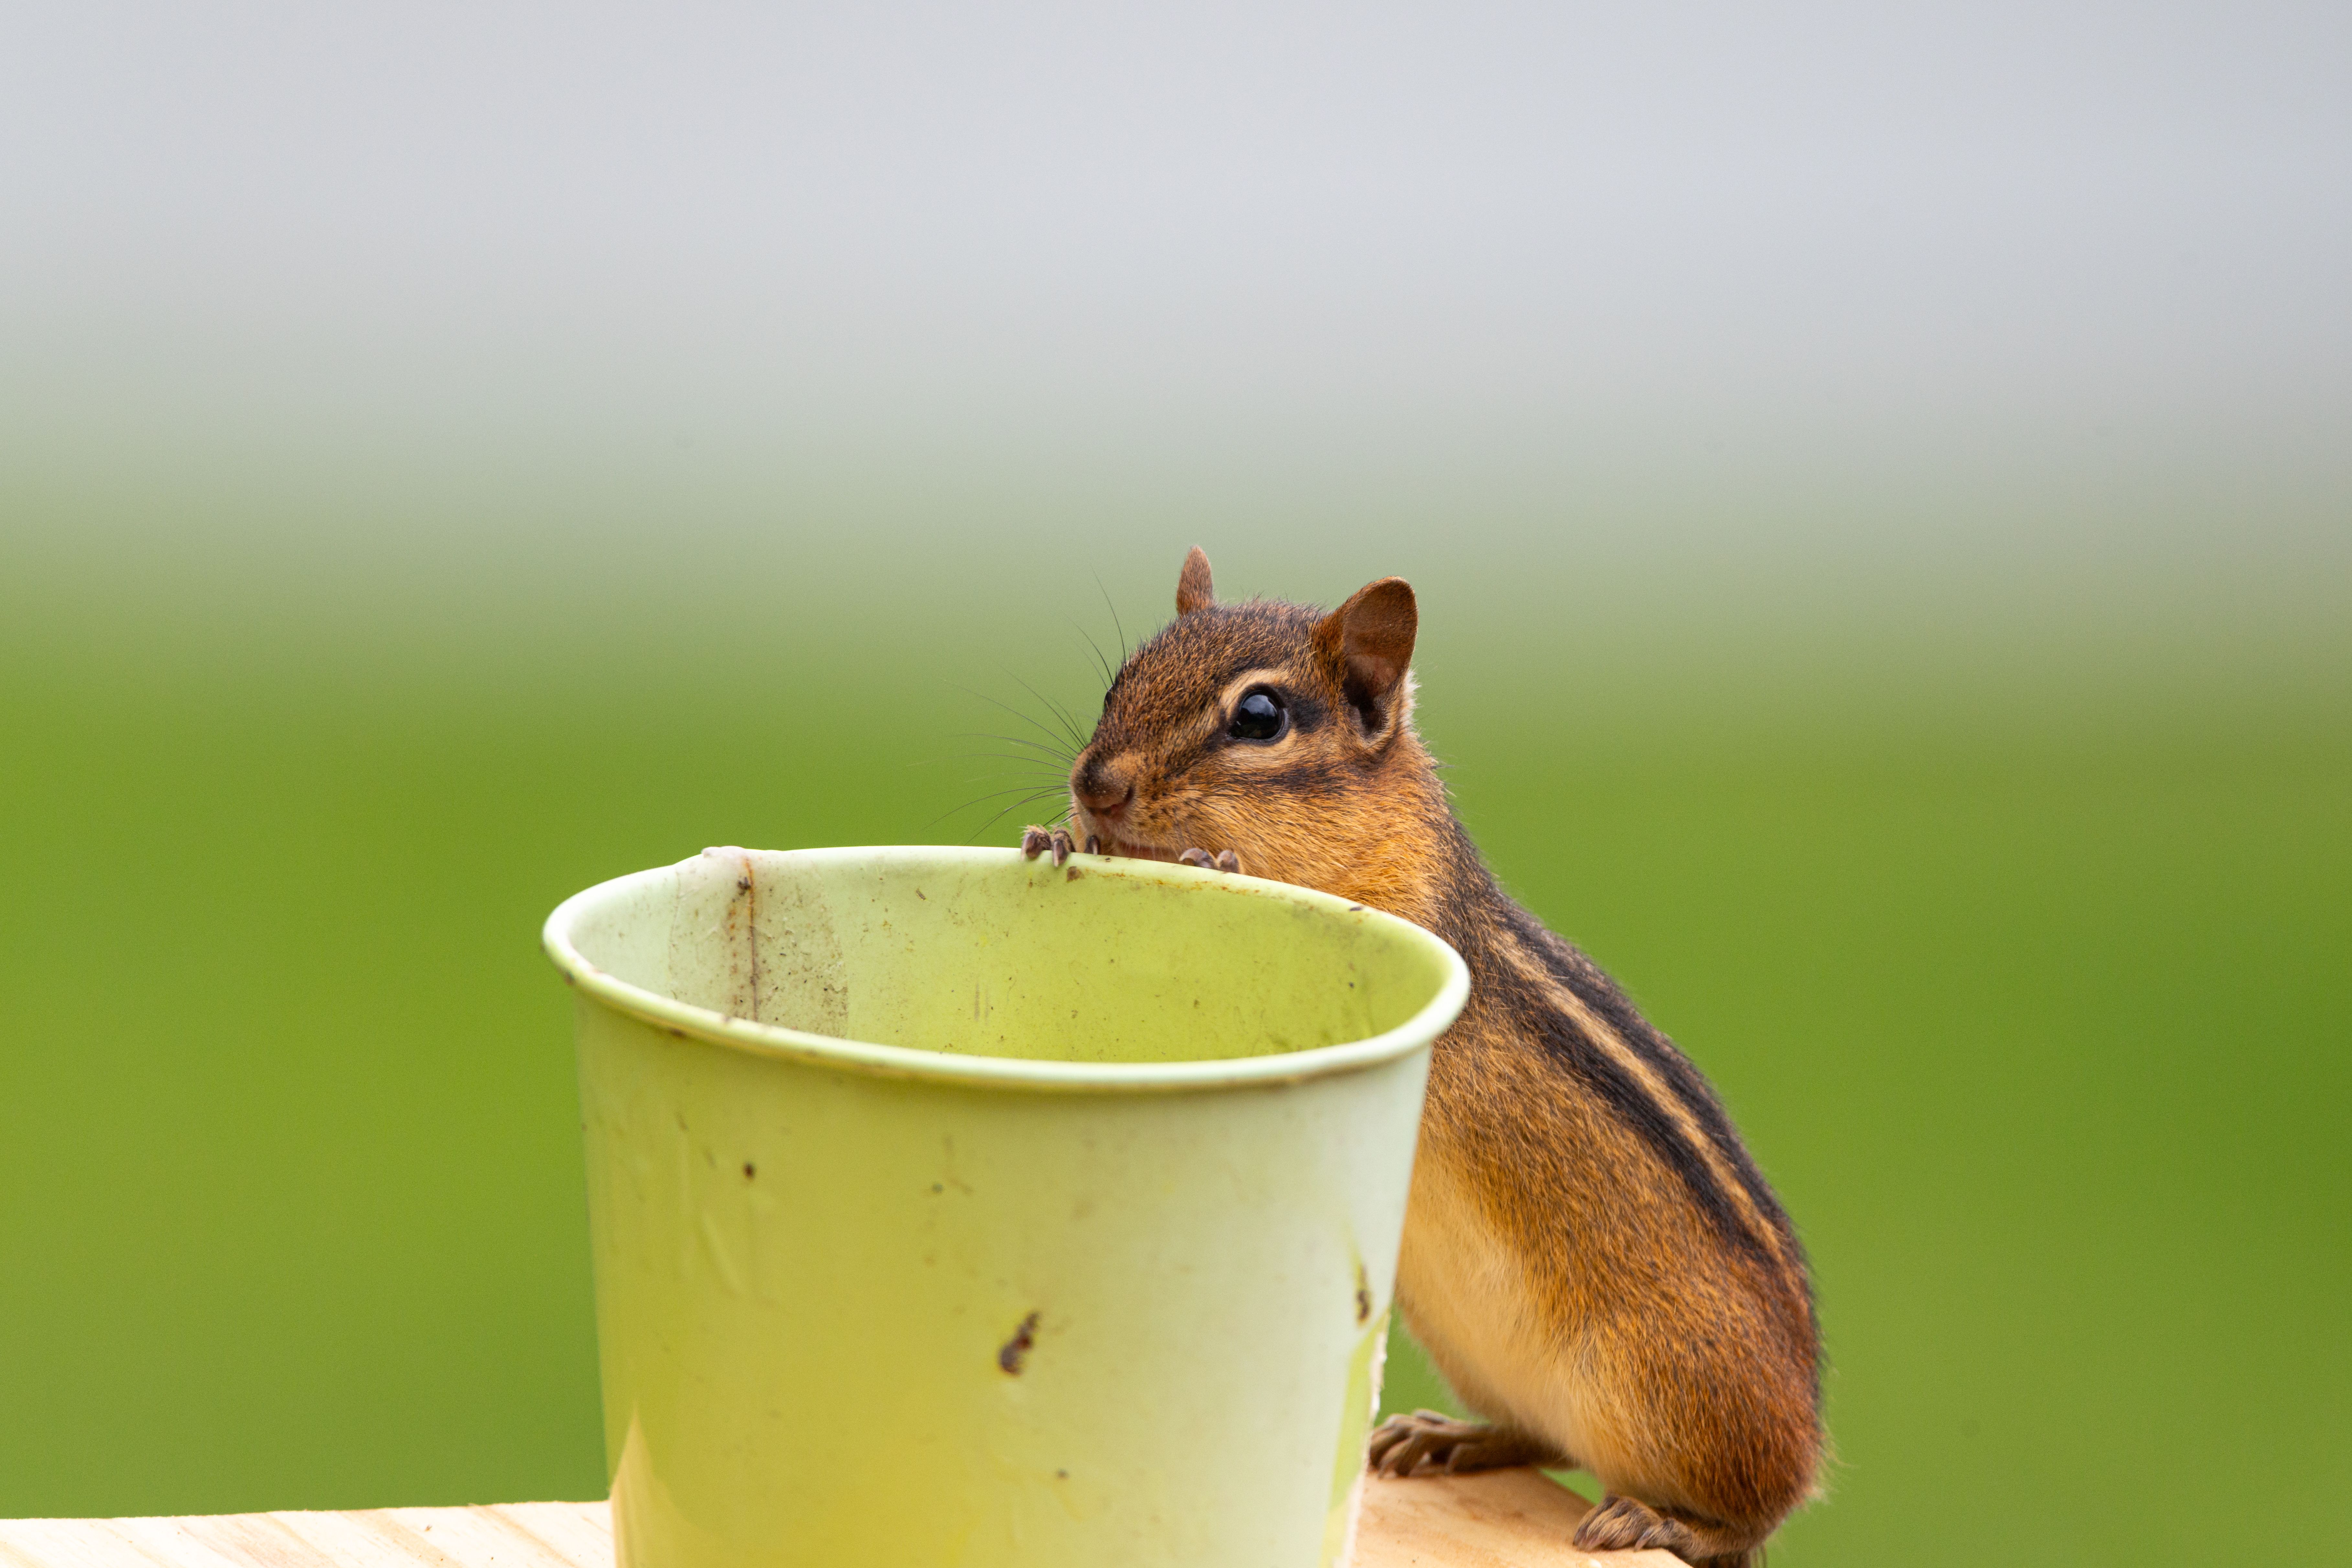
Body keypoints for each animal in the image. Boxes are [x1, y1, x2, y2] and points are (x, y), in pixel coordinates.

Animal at [1020, 548, 1822, 1568]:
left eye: (1258, 716)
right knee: (1541, 1438)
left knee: (1750, 1512)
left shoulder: (1404, 925)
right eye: (1120, 678)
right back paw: (1451, 1437)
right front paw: (1056, 837)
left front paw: (1208, 863)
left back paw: (1663, 1516)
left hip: (1674, 1392)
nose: (1095, 784)